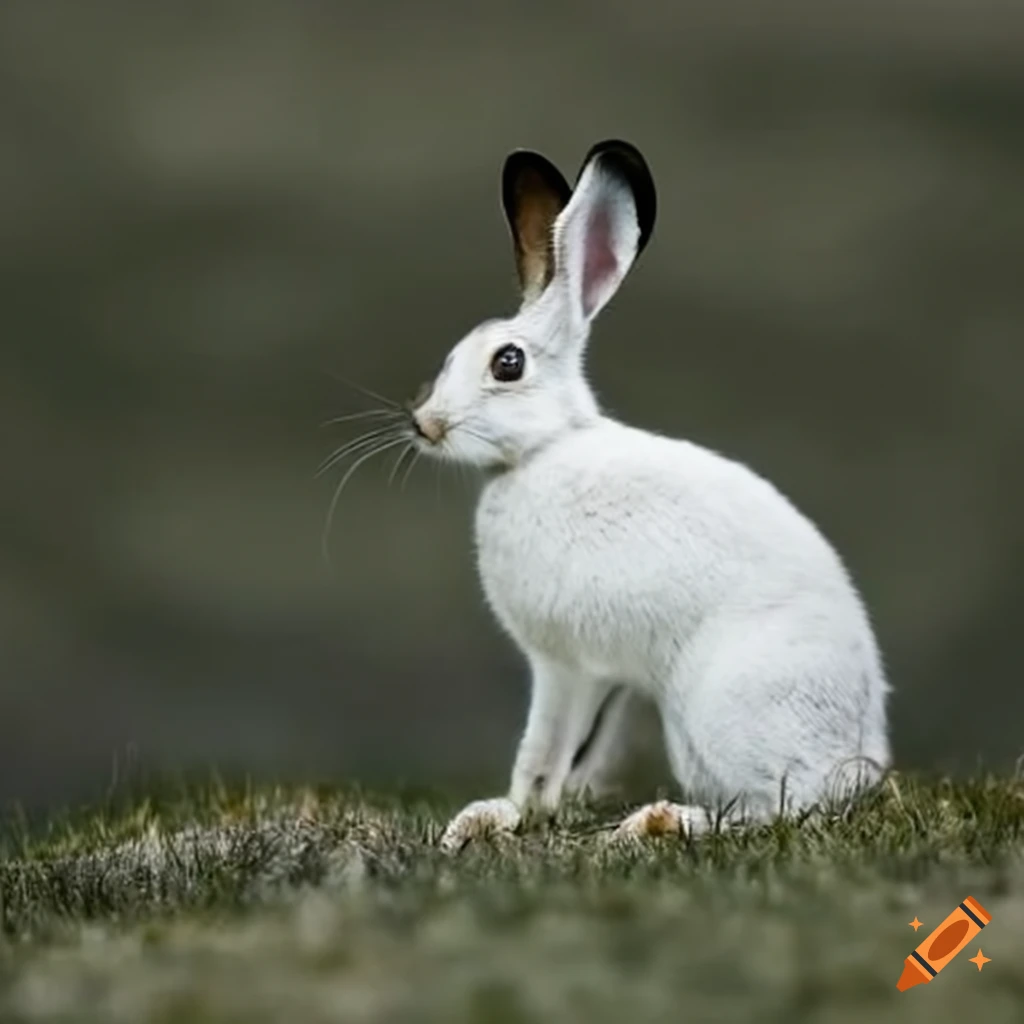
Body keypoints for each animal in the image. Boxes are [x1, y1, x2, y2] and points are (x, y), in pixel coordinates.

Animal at [401, 139, 891, 852]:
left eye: (507, 363)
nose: (425, 424)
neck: (545, 449)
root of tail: (857, 761)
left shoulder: (562, 663)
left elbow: (541, 747)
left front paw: (503, 814)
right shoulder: (599, 679)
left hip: (714, 714)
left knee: (780, 806)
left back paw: (654, 822)